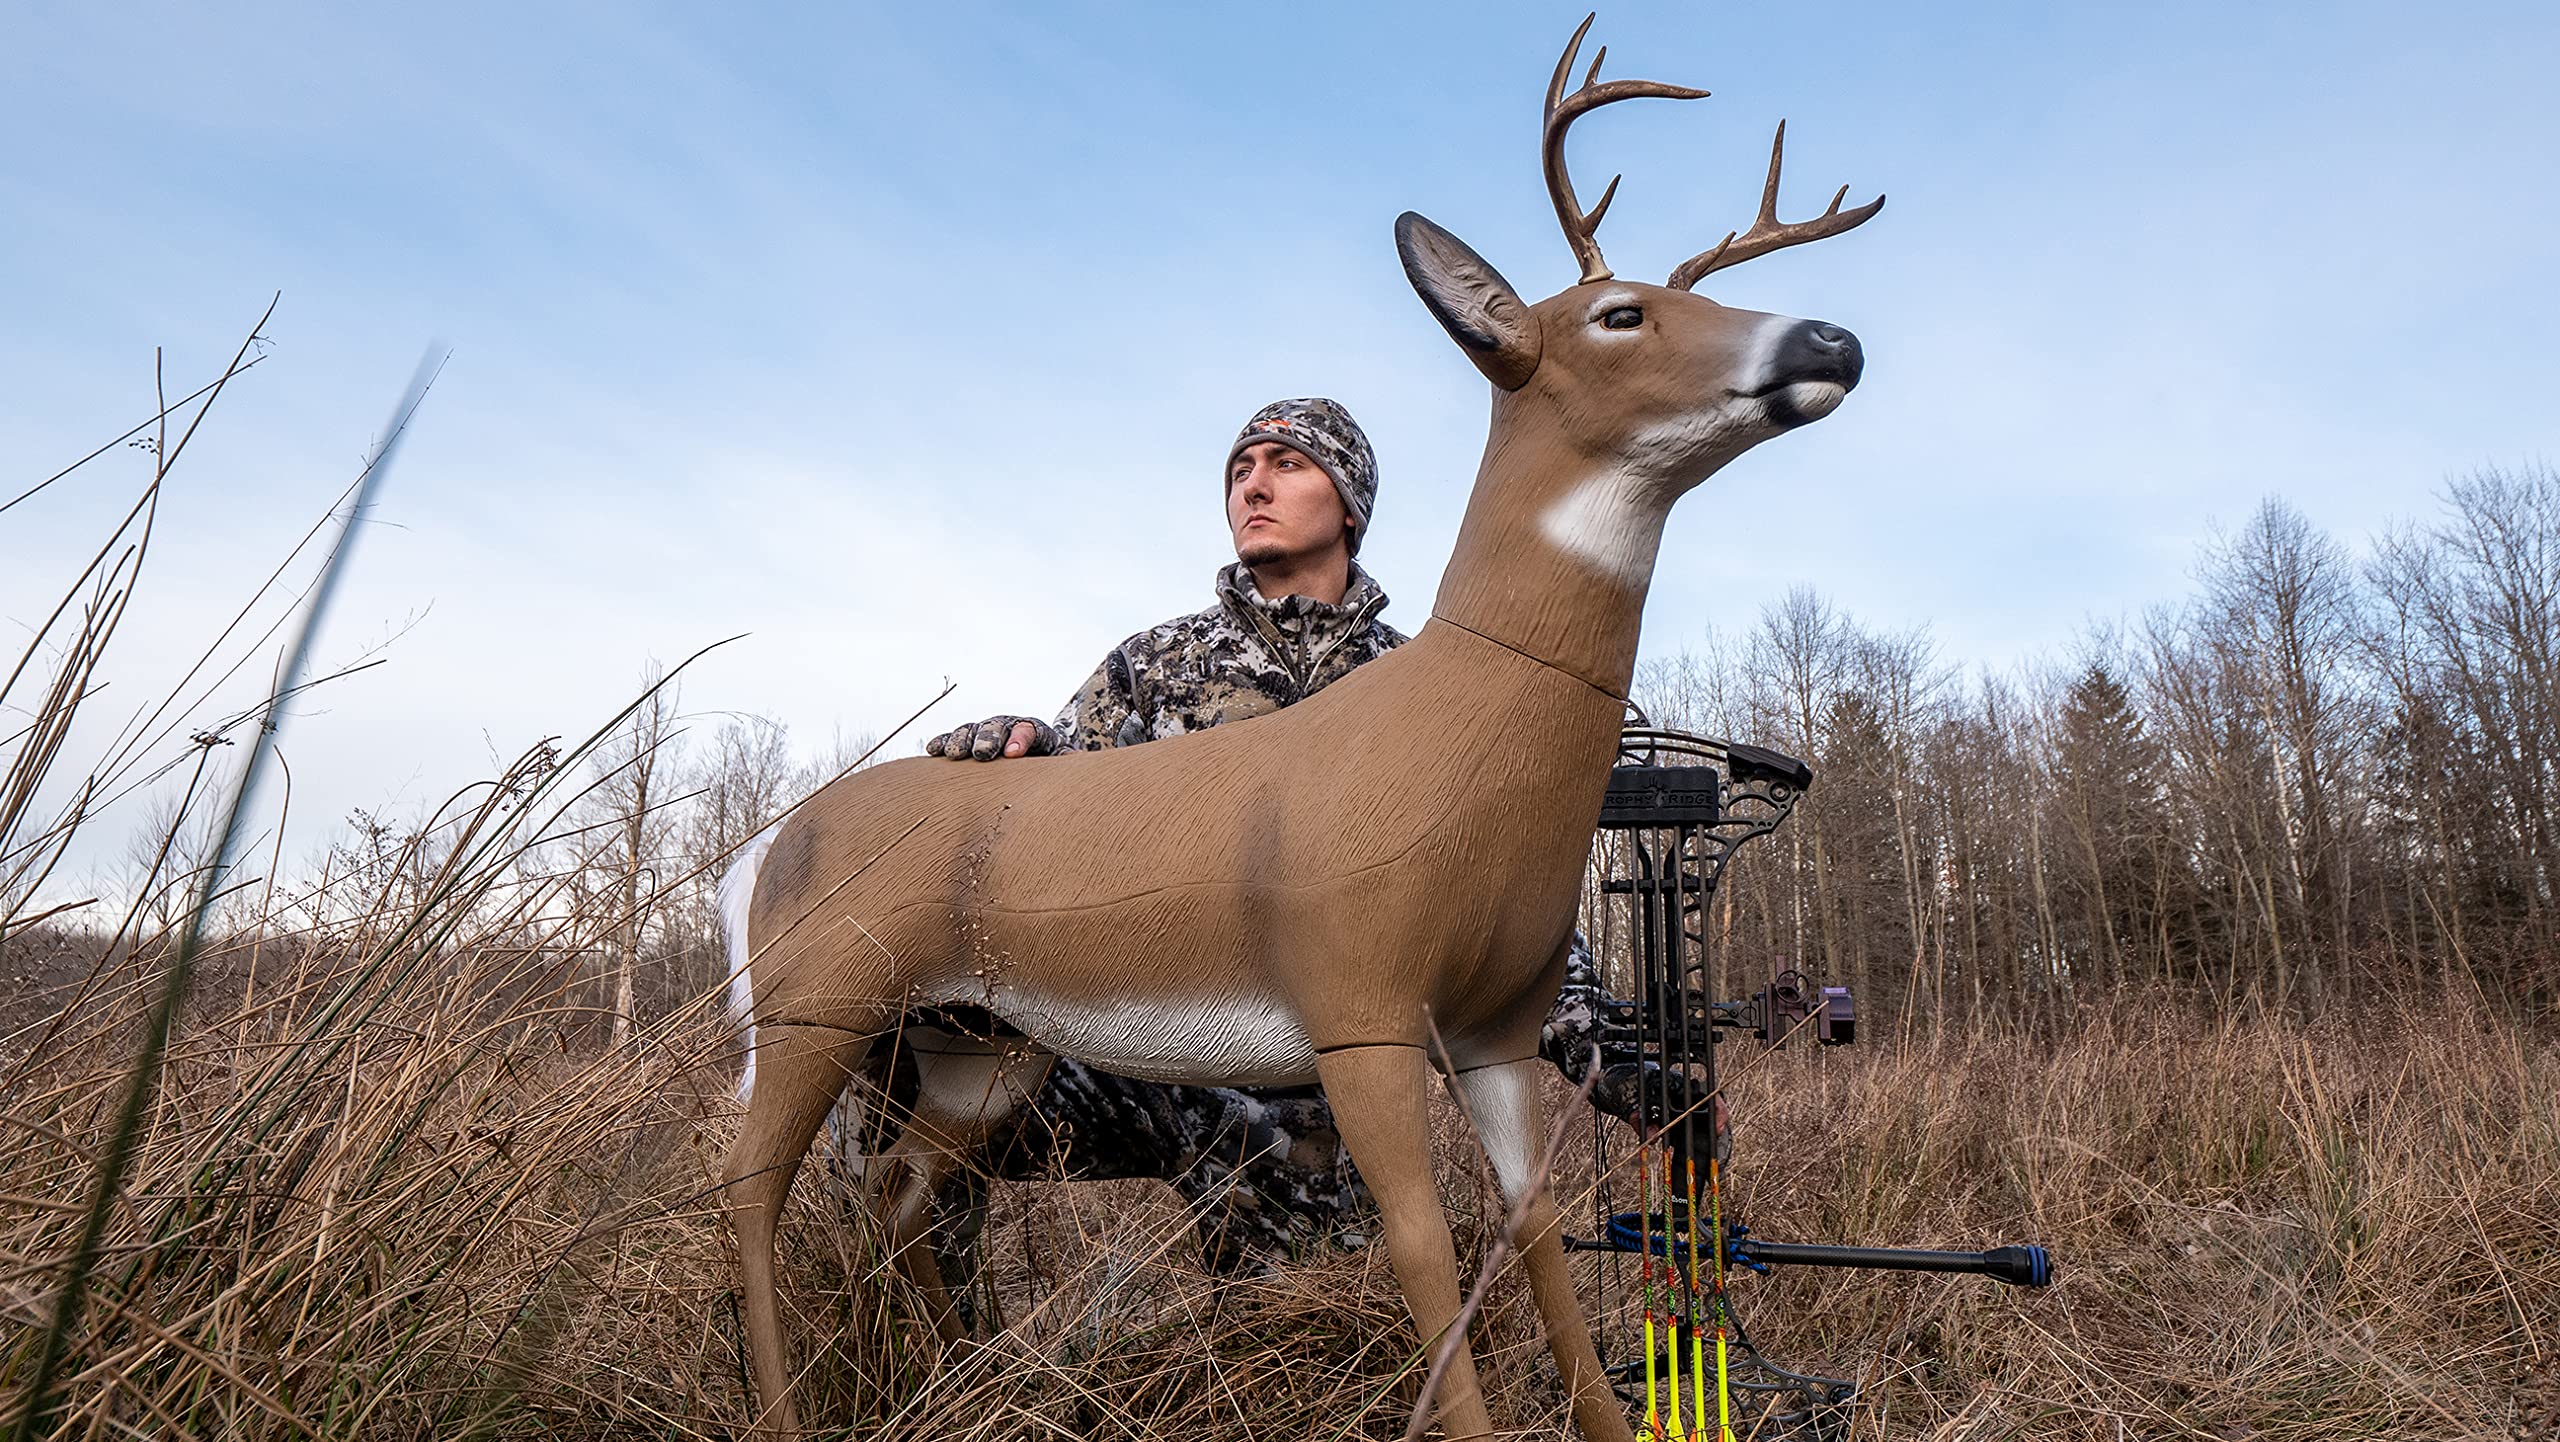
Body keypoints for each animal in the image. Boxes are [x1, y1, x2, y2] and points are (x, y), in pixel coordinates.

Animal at [719, 17, 1880, 1440]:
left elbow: (1533, 1231)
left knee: (904, 1192)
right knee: (754, 1184)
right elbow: (1428, 1248)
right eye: (1621, 314)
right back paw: (796, 1404)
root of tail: (756, 854)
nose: (1830, 337)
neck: (1454, 739)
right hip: (817, 998)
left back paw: (954, 1383)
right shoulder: (1357, 996)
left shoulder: (1492, 1023)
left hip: (972, 1047)